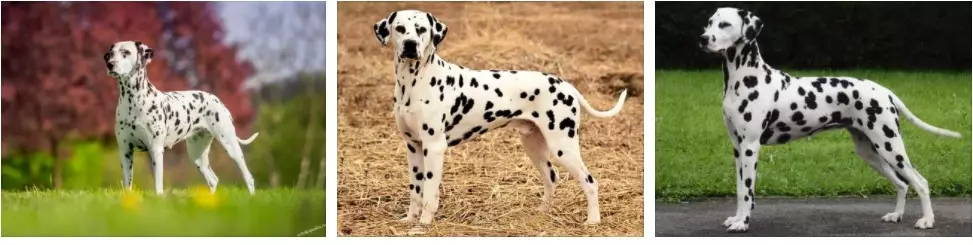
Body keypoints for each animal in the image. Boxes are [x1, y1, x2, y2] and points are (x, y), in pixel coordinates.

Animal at [103, 41, 258, 195]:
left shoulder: (156, 150)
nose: (110, 64)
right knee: (213, 180)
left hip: (231, 146)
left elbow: (158, 186)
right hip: (197, 155)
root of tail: (217, 99)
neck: (133, 101)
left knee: (248, 177)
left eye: (126, 52)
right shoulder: (125, 151)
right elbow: (127, 185)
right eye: (111, 54)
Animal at [372, 10, 632, 226]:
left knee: (590, 181)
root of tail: (565, 85)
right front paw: (410, 219)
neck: (414, 81)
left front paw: (424, 223)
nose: (410, 45)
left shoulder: (434, 147)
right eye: (400, 29)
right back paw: (543, 211)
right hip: (534, 146)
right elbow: (415, 190)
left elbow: (428, 192)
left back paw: (593, 221)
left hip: (563, 147)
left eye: (422, 29)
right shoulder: (413, 146)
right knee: (551, 177)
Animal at [696, 7, 960, 233]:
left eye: (725, 24)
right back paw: (896, 215)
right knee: (902, 184)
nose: (703, 38)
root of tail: (884, 91)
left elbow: (748, 192)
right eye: (709, 23)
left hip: (890, 147)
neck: (745, 78)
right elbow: (741, 188)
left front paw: (743, 224)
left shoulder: (751, 147)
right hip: (871, 151)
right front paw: (737, 218)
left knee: (920, 182)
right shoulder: (738, 148)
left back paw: (927, 220)